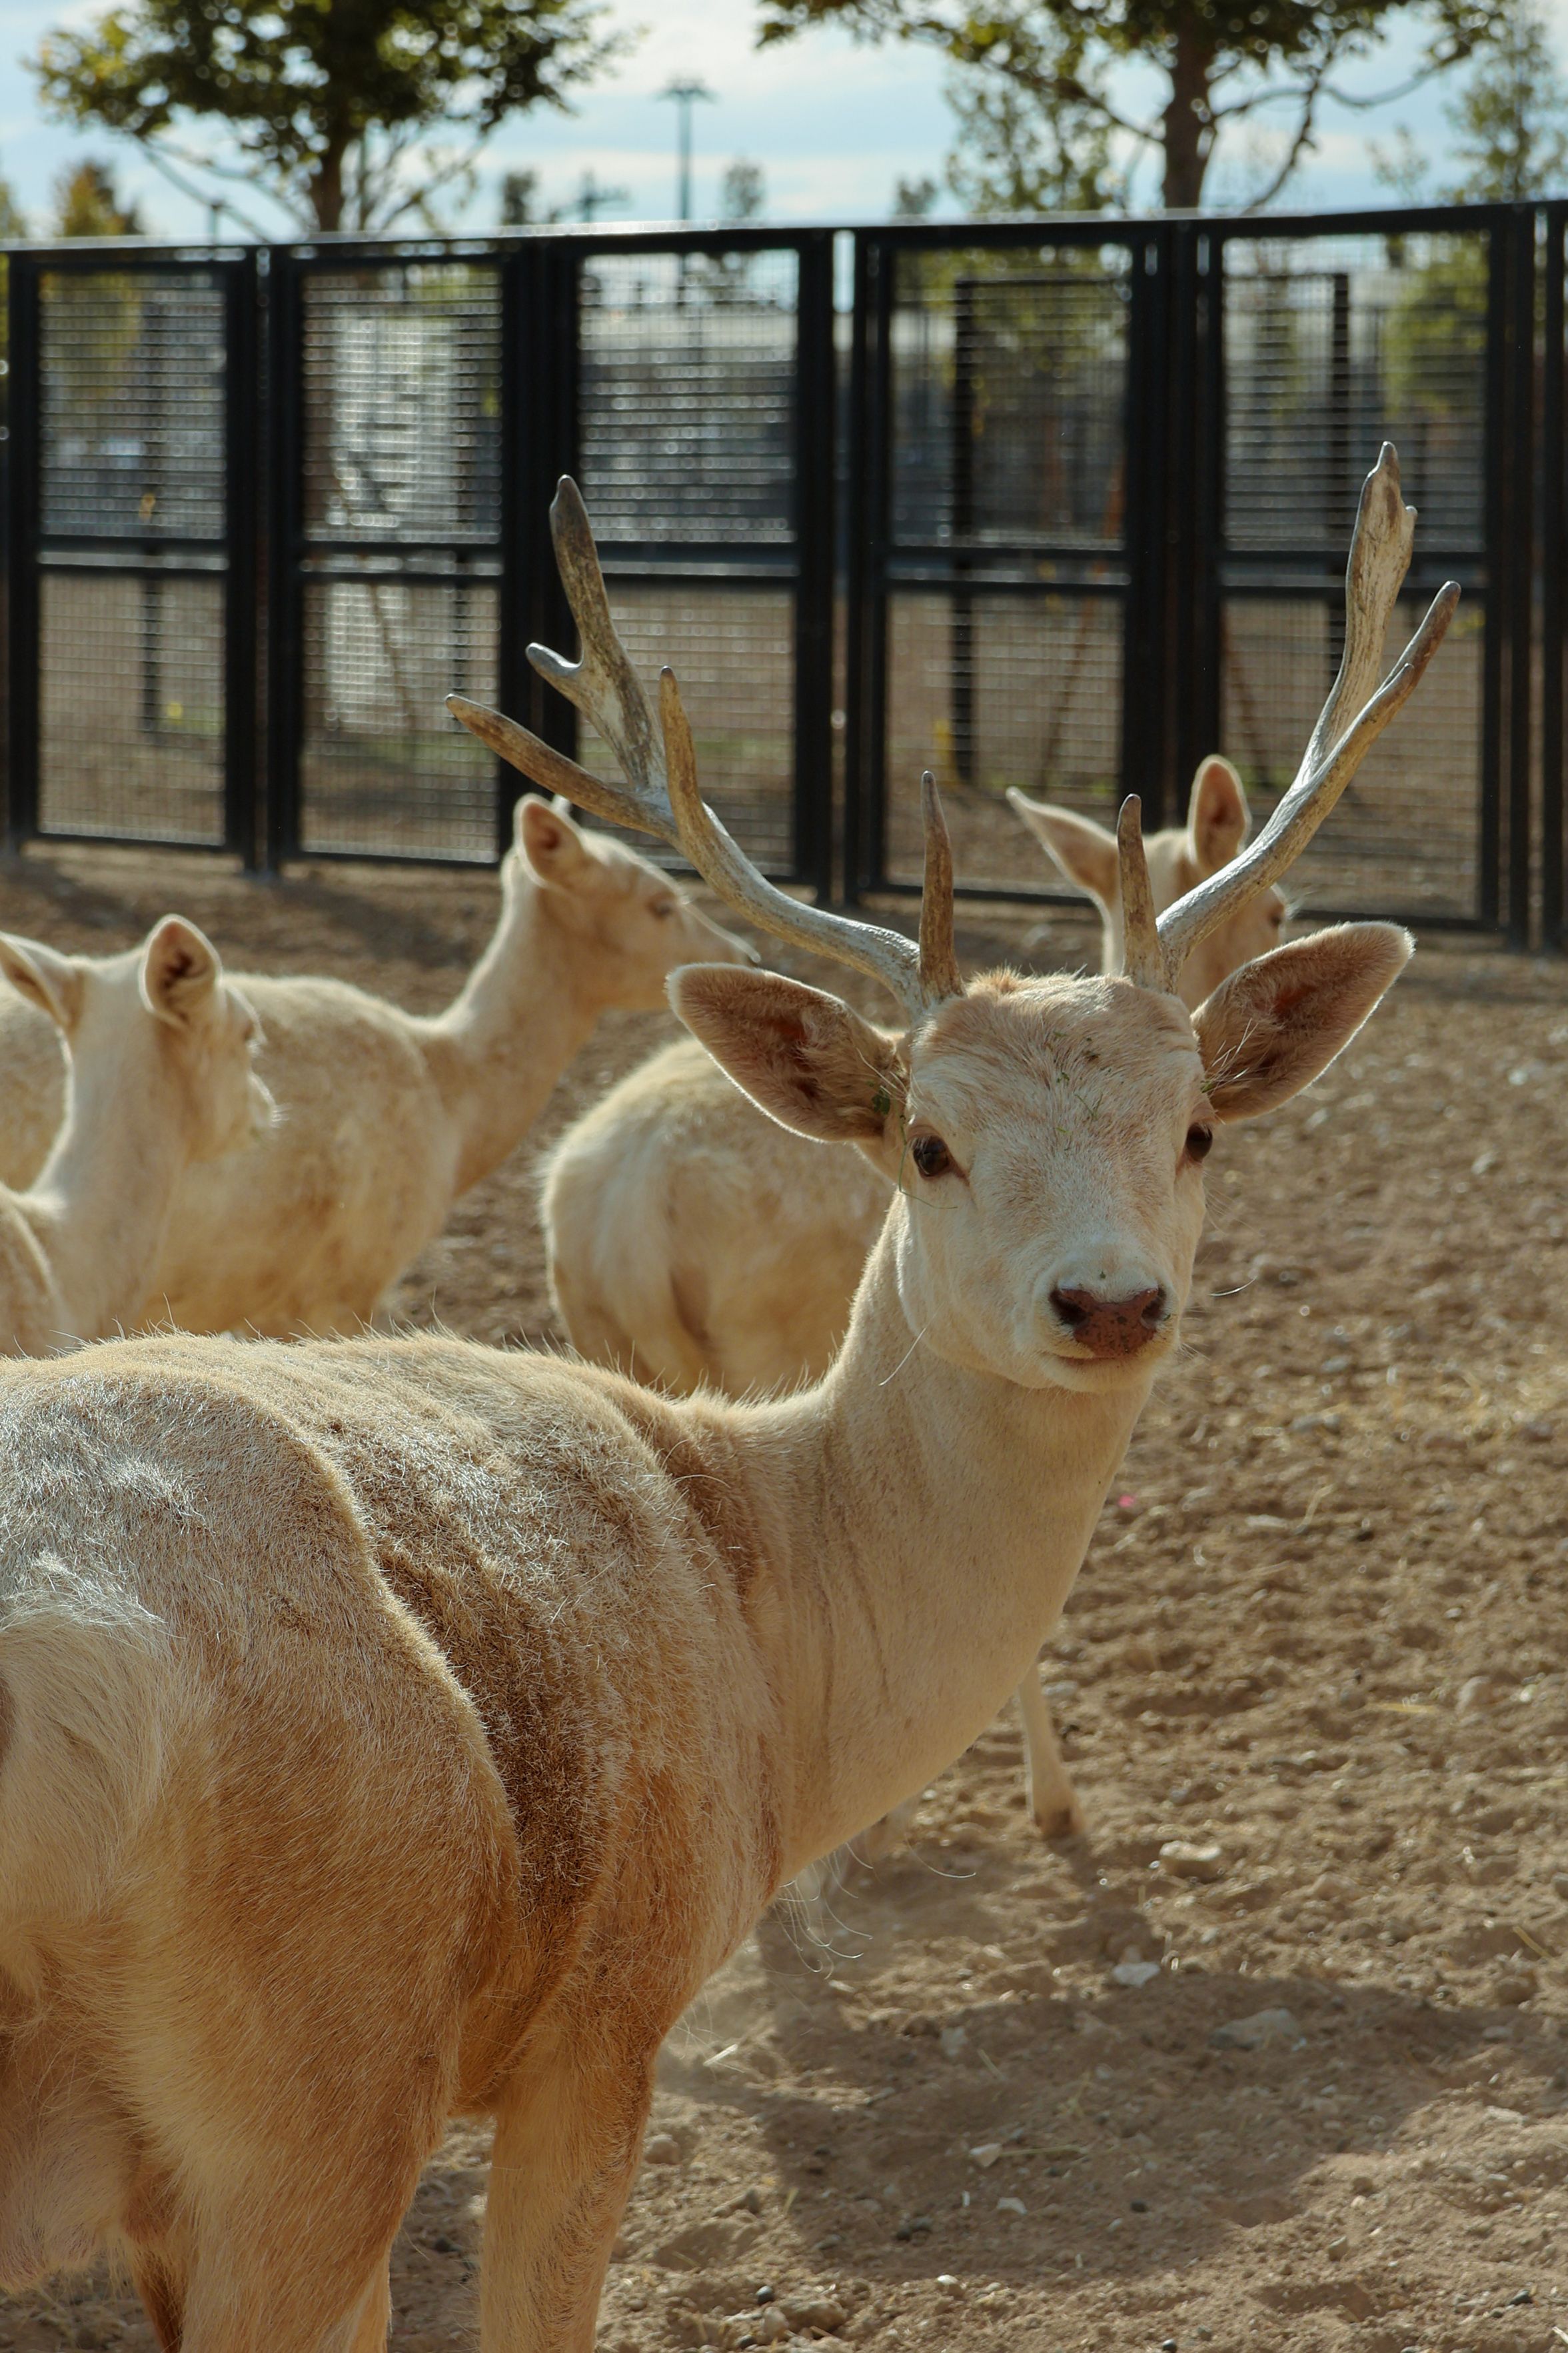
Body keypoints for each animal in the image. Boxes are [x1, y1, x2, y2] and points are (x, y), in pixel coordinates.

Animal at [539, 761, 1288, 1839]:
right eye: (925, 1147)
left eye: (1199, 1130)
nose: (1114, 1304)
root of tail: (624, 1209)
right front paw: (1052, 1801)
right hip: (765, 1338)